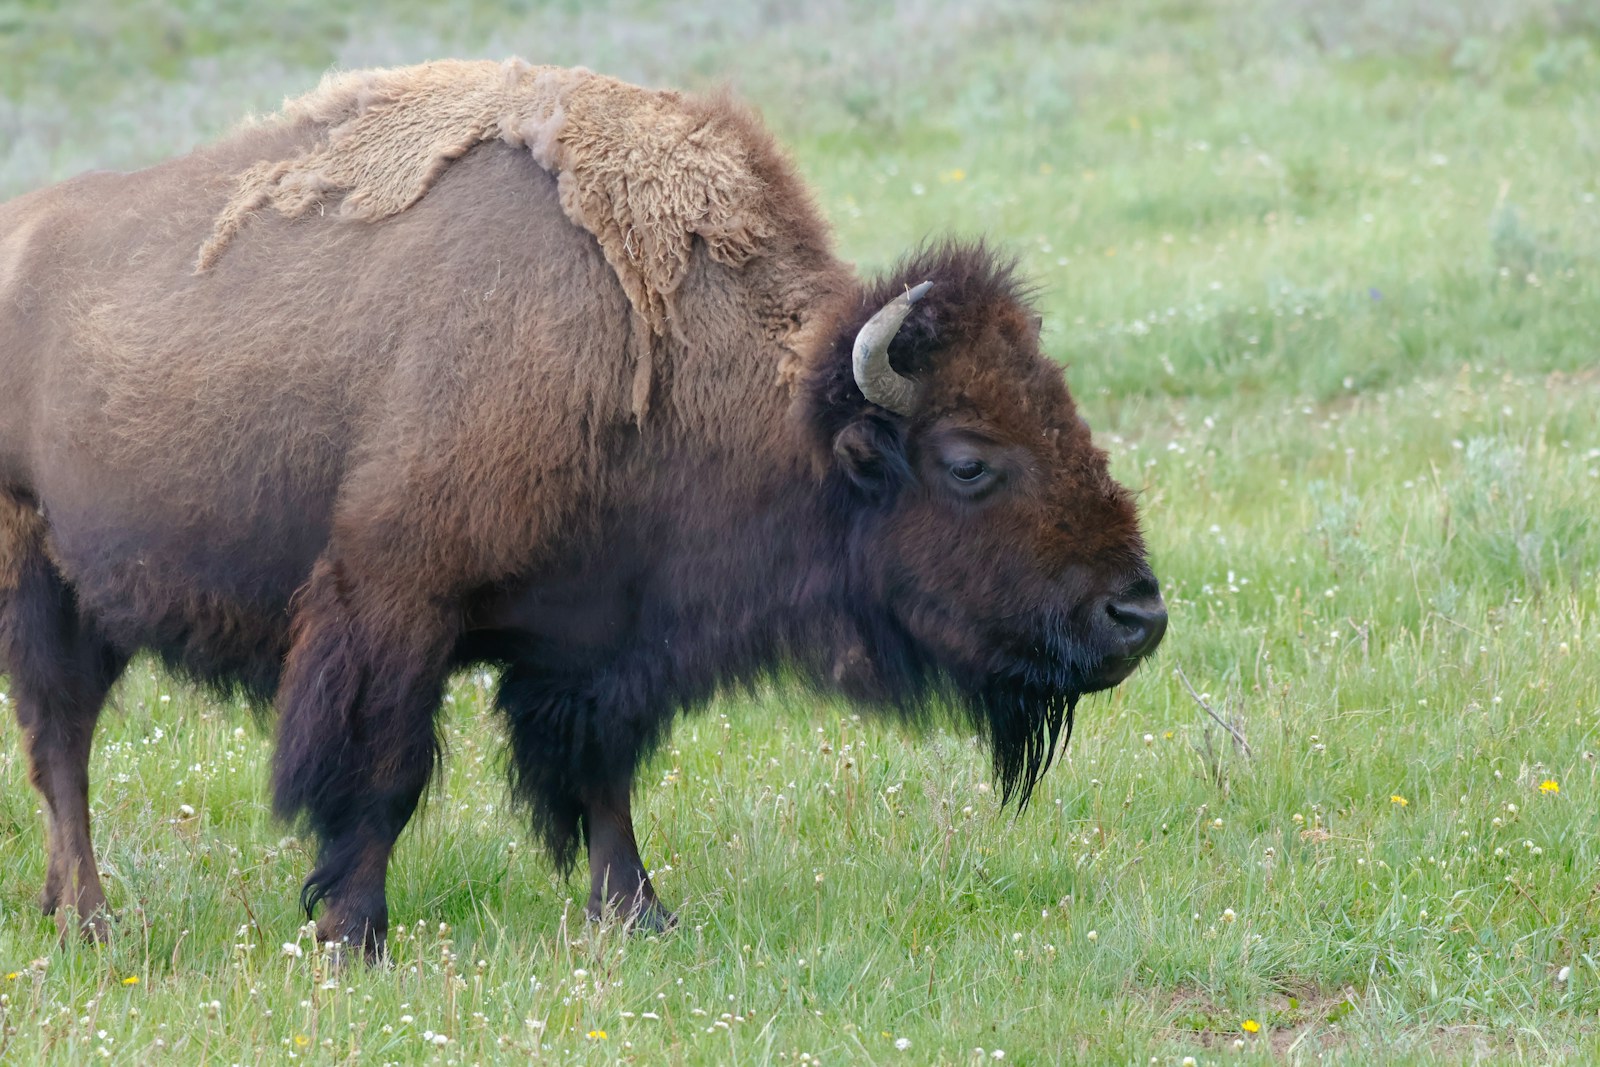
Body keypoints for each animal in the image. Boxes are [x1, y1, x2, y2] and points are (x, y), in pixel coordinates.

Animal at [0, 60, 1165, 957]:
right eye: (968, 461)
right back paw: (92, 921)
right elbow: (382, 772)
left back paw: (69, 912)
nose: (1138, 614)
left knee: (64, 742)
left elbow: (602, 776)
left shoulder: (602, 639)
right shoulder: (393, 599)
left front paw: (638, 912)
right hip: (37, 574)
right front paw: (352, 935)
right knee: (63, 743)